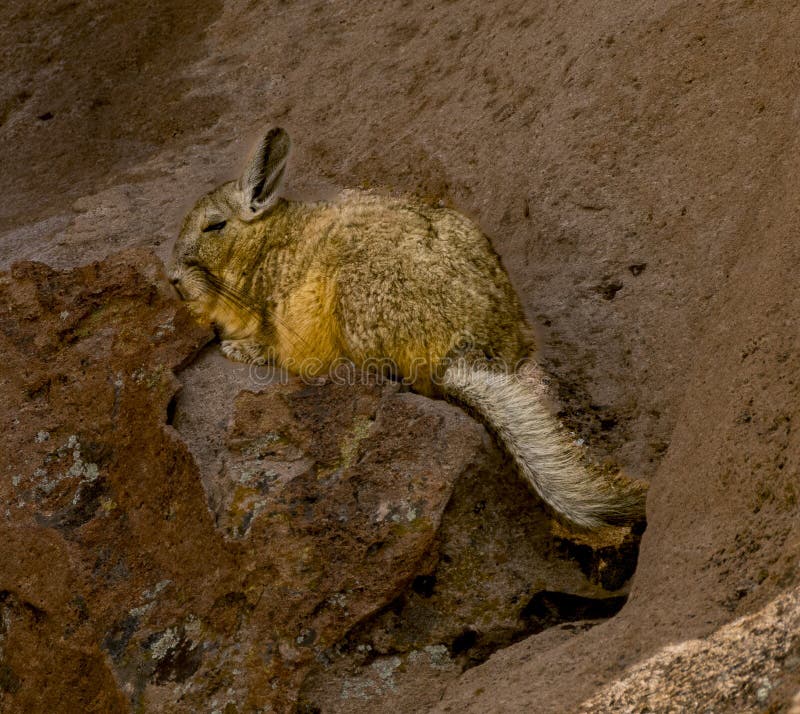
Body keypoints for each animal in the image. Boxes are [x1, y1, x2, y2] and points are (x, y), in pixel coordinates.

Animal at [170, 127, 646, 529]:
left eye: (215, 225)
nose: (173, 279)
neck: (259, 251)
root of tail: (465, 354)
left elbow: (267, 344)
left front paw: (236, 348)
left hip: (358, 296)